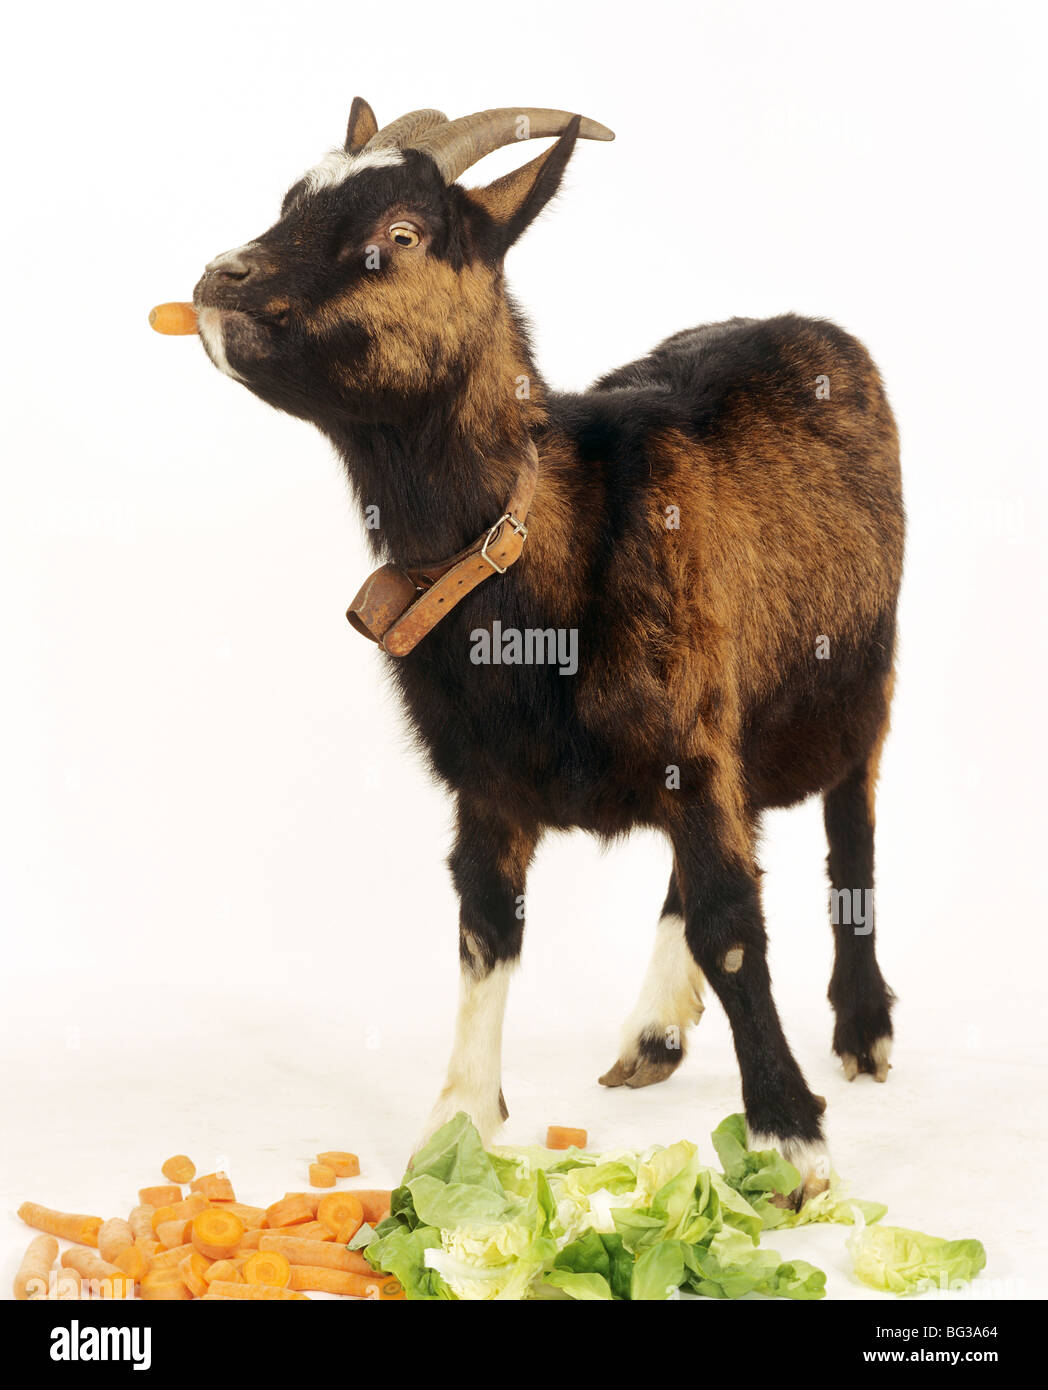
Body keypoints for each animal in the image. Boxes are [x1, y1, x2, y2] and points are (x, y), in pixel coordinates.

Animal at [192, 100, 903, 1202]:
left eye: (400, 235)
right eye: (292, 197)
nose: (221, 277)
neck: (525, 546)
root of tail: (808, 325)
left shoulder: (692, 738)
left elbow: (733, 930)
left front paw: (792, 1144)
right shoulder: (489, 781)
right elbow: (487, 928)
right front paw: (454, 1125)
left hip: (856, 676)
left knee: (849, 821)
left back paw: (862, 1028)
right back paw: (652, 1034)